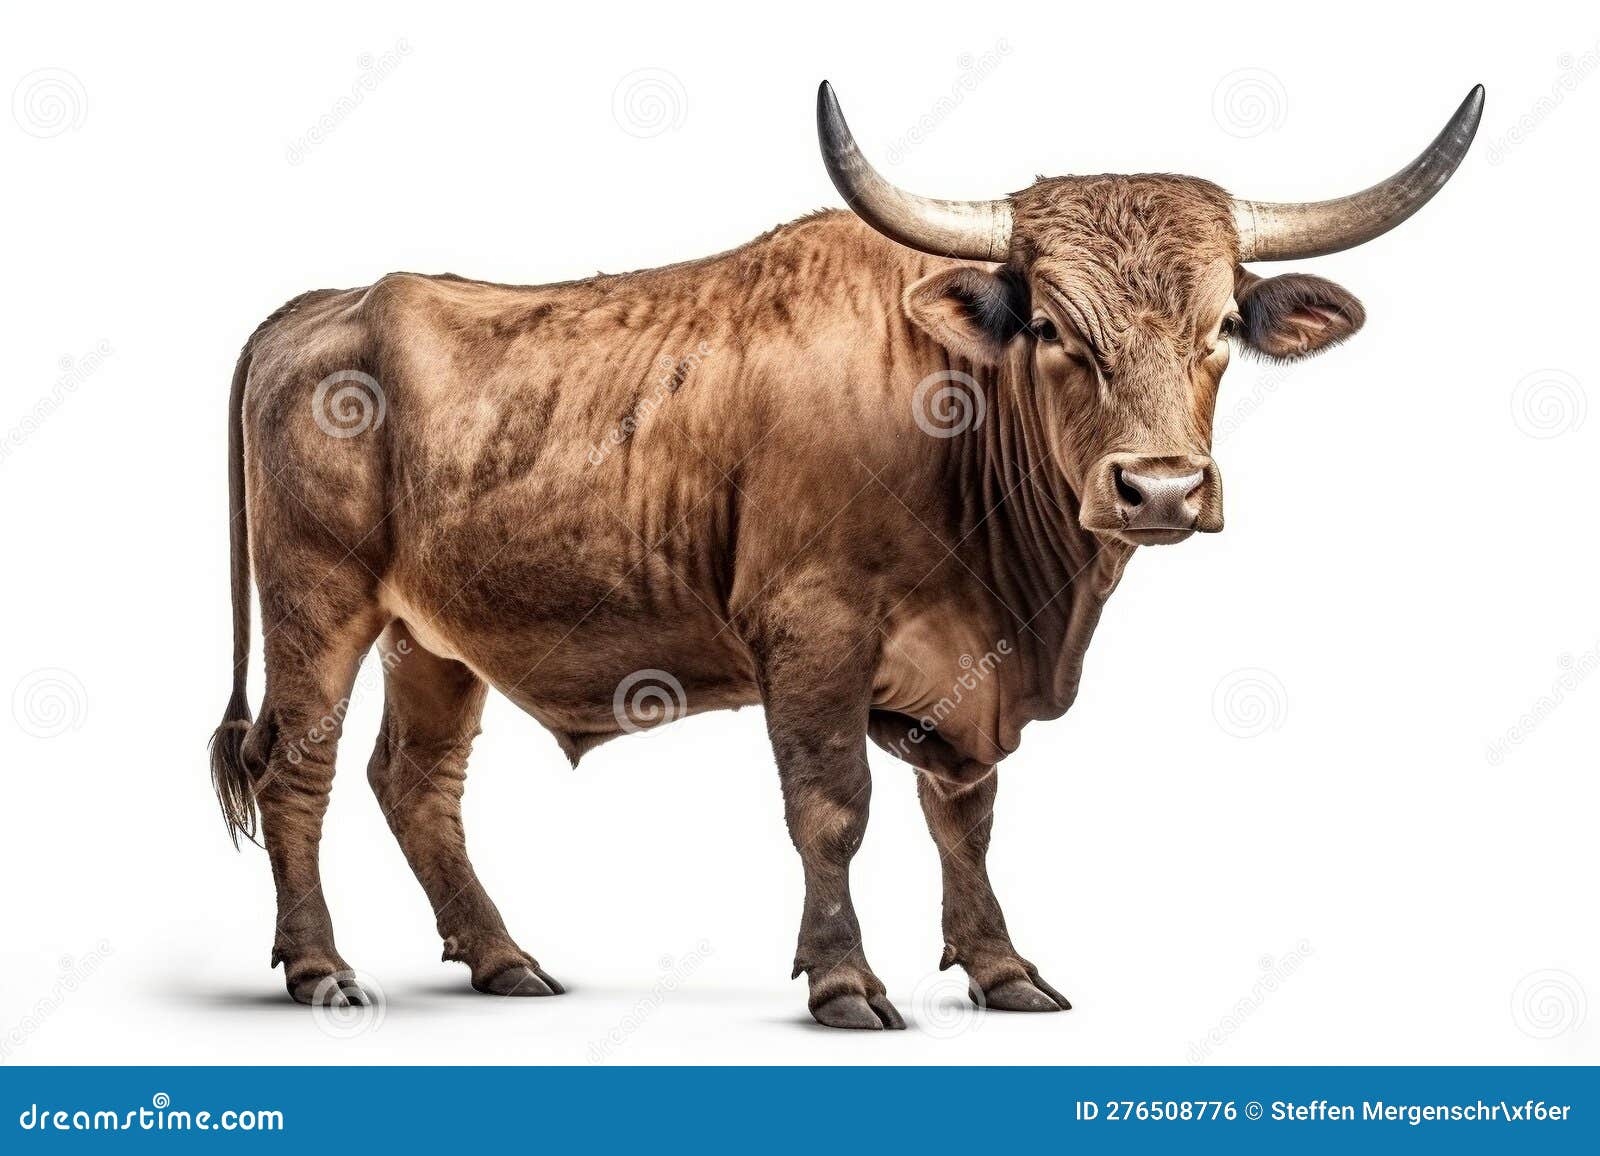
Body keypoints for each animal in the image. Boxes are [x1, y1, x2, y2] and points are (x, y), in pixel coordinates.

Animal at [211, 82, 1482, 1029]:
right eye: (1051, 326)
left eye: (1220, 325)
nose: (1160, 487)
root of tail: (327, 305)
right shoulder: (812, 635)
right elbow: (833, 805)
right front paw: (844, 979)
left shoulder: (969, 668)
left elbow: (963, 811)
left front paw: (1002, 968)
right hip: (319, 602)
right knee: (298, 770)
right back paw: (322, 968)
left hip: (439, 634)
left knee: (415, 780)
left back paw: (502, 958)